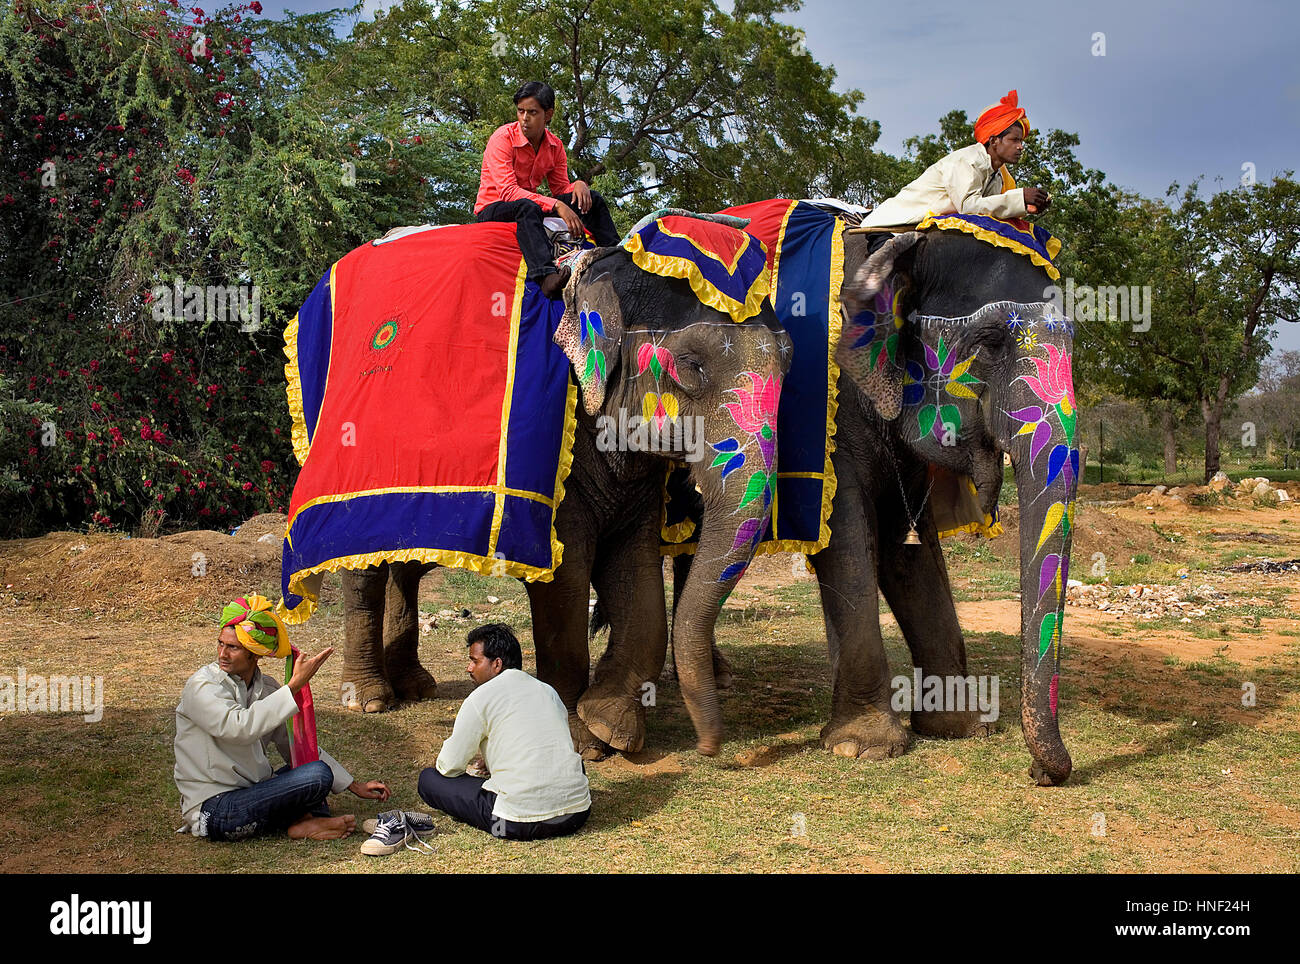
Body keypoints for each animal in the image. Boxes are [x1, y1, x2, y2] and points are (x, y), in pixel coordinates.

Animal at [335, 215, 793, 761]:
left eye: (789, 362)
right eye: (691, 366)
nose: (709, 747)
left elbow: (638, 579)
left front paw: (613, 726)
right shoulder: (561, 447)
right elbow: (566, 577)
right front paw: (582, 741)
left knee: (406, 562)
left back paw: (415, 686)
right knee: (360, 564)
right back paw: (369, 699)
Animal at [668, 224, 1077, 785]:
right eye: (991, 343)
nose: (1039, 773)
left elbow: (907, 552)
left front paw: (961, 728)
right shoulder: (830, 408)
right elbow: (847, 540)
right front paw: (863, 748)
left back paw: (713, 677)